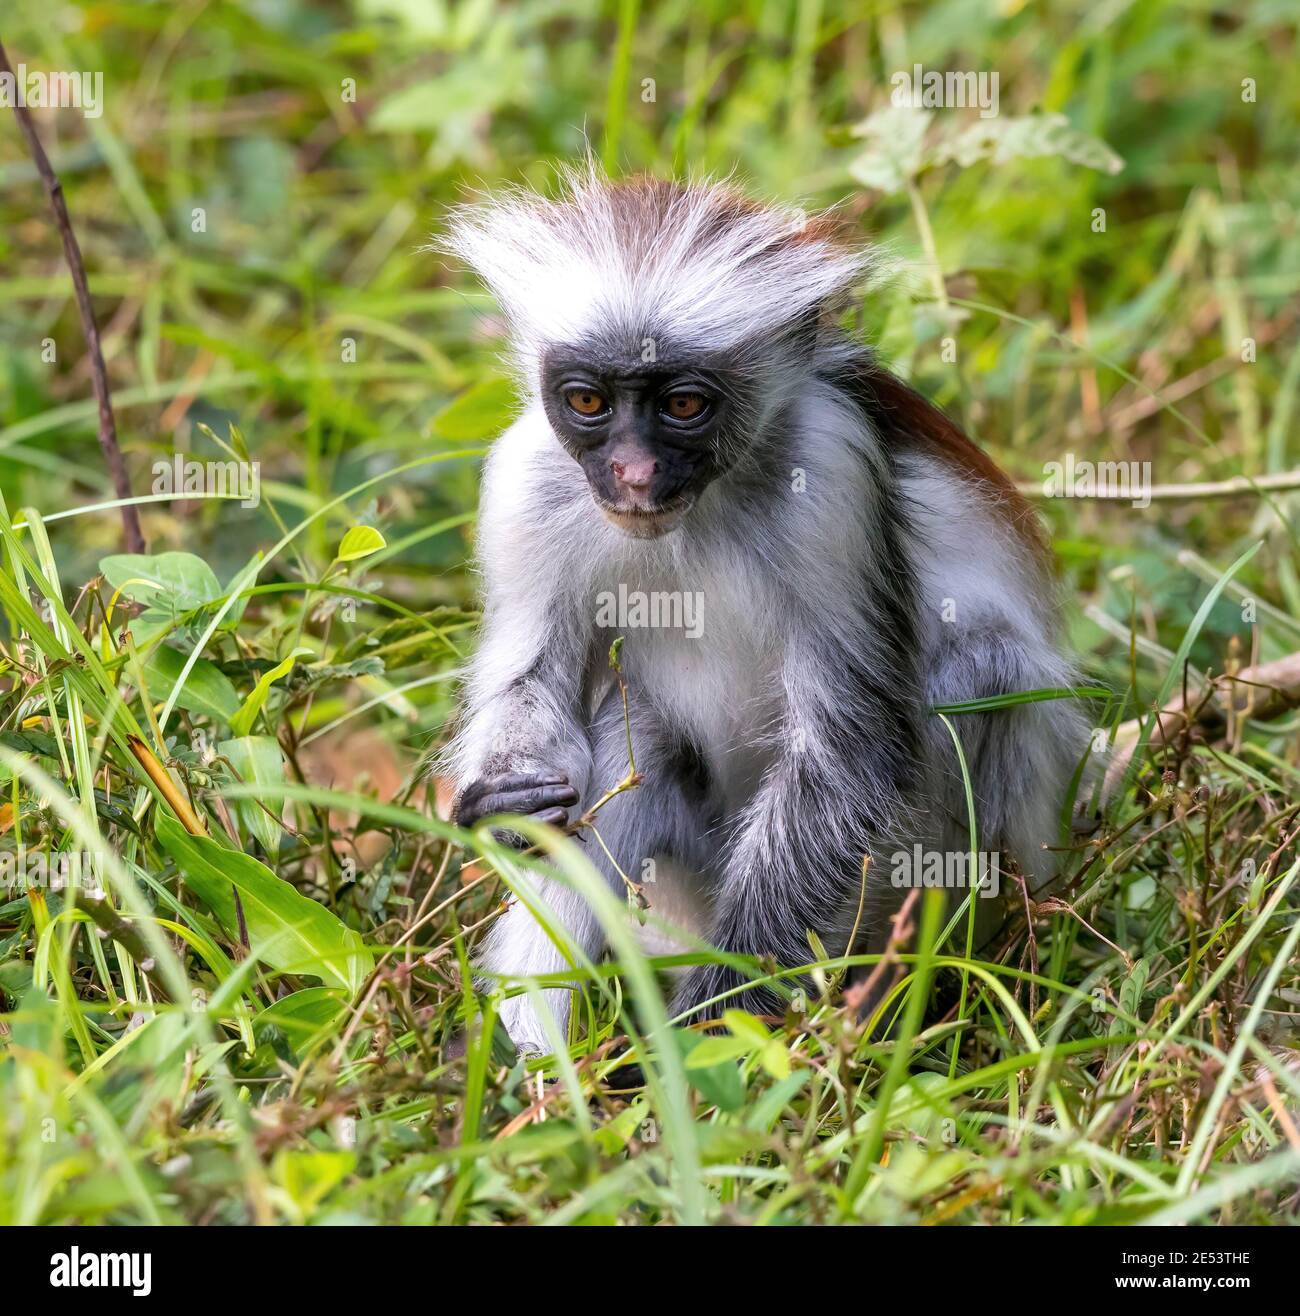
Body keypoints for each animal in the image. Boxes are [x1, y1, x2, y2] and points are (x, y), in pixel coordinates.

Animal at [439, 165, 1093, 1059]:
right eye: (588, 401)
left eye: (684, 407)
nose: (633, 475)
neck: (697, 513)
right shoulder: (527, 475)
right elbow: (530, 681)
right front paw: (503, 805)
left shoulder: (831, 470)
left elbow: (850, 755)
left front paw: (702, 1033)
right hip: (687, 883)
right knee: (633, 742)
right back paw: (530, 1070)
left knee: (978, 667)